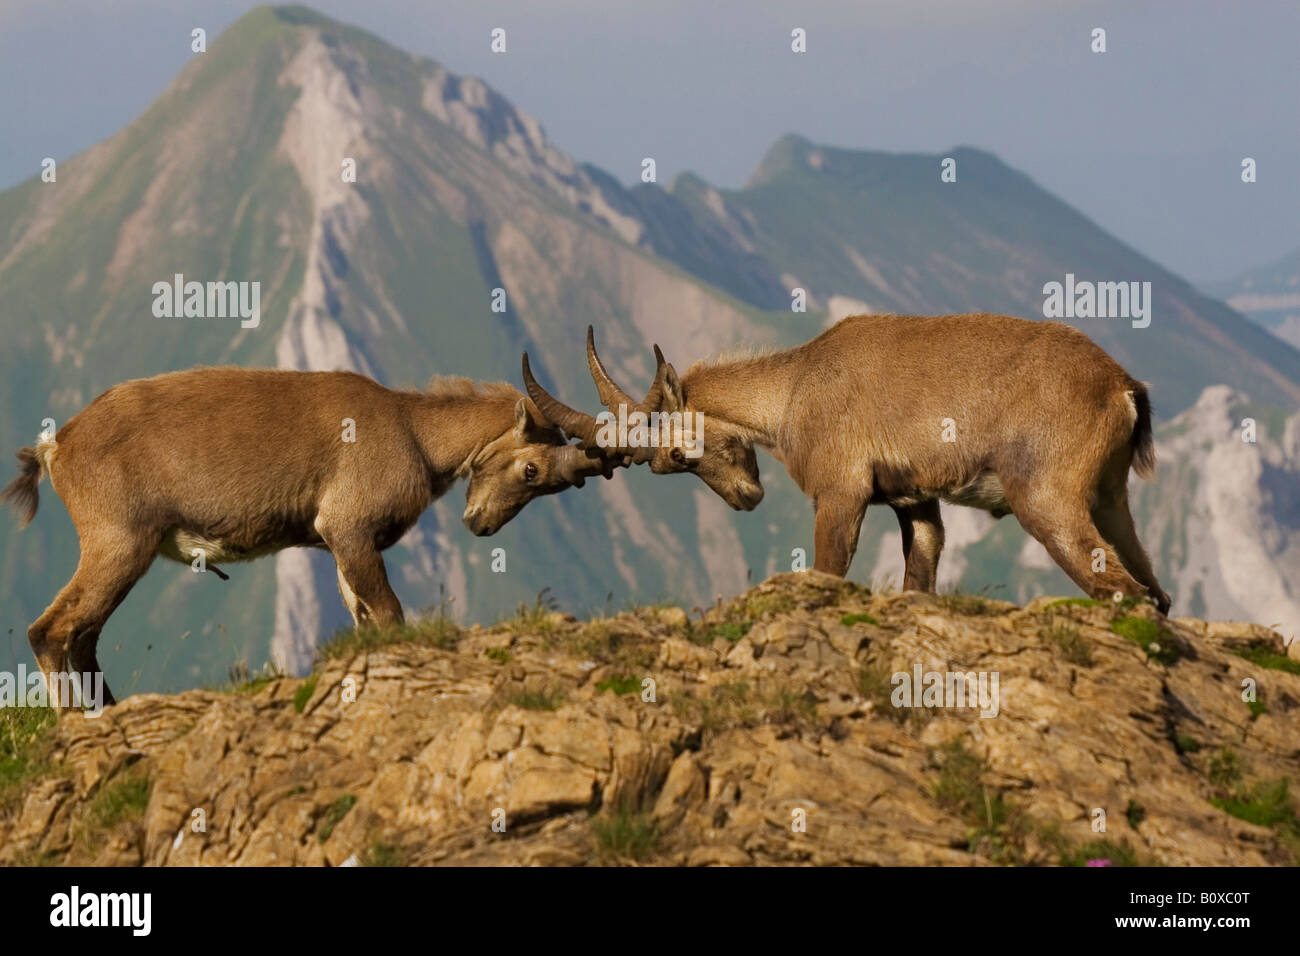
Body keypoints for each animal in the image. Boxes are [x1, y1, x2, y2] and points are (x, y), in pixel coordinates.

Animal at [1, 366, 618, 708]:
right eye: (532, 469)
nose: (481, 524)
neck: (412, 431)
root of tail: (57, 448)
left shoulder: (340, 547)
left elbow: (362, 617)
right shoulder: (349, 528)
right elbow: (388, 615)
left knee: (83, 637)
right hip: (119, 543)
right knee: (49, 631)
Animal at [578, 315, 1171, 613]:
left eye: (677, 453)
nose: (746, 498)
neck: (795, 390)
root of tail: (1124, 388)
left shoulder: (841, 492)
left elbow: (828, 568)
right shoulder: (917, 501)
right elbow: (920, 576)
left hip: (1048, 497)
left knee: (1124, 591)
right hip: (1111, 500)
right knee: (1157, 594)